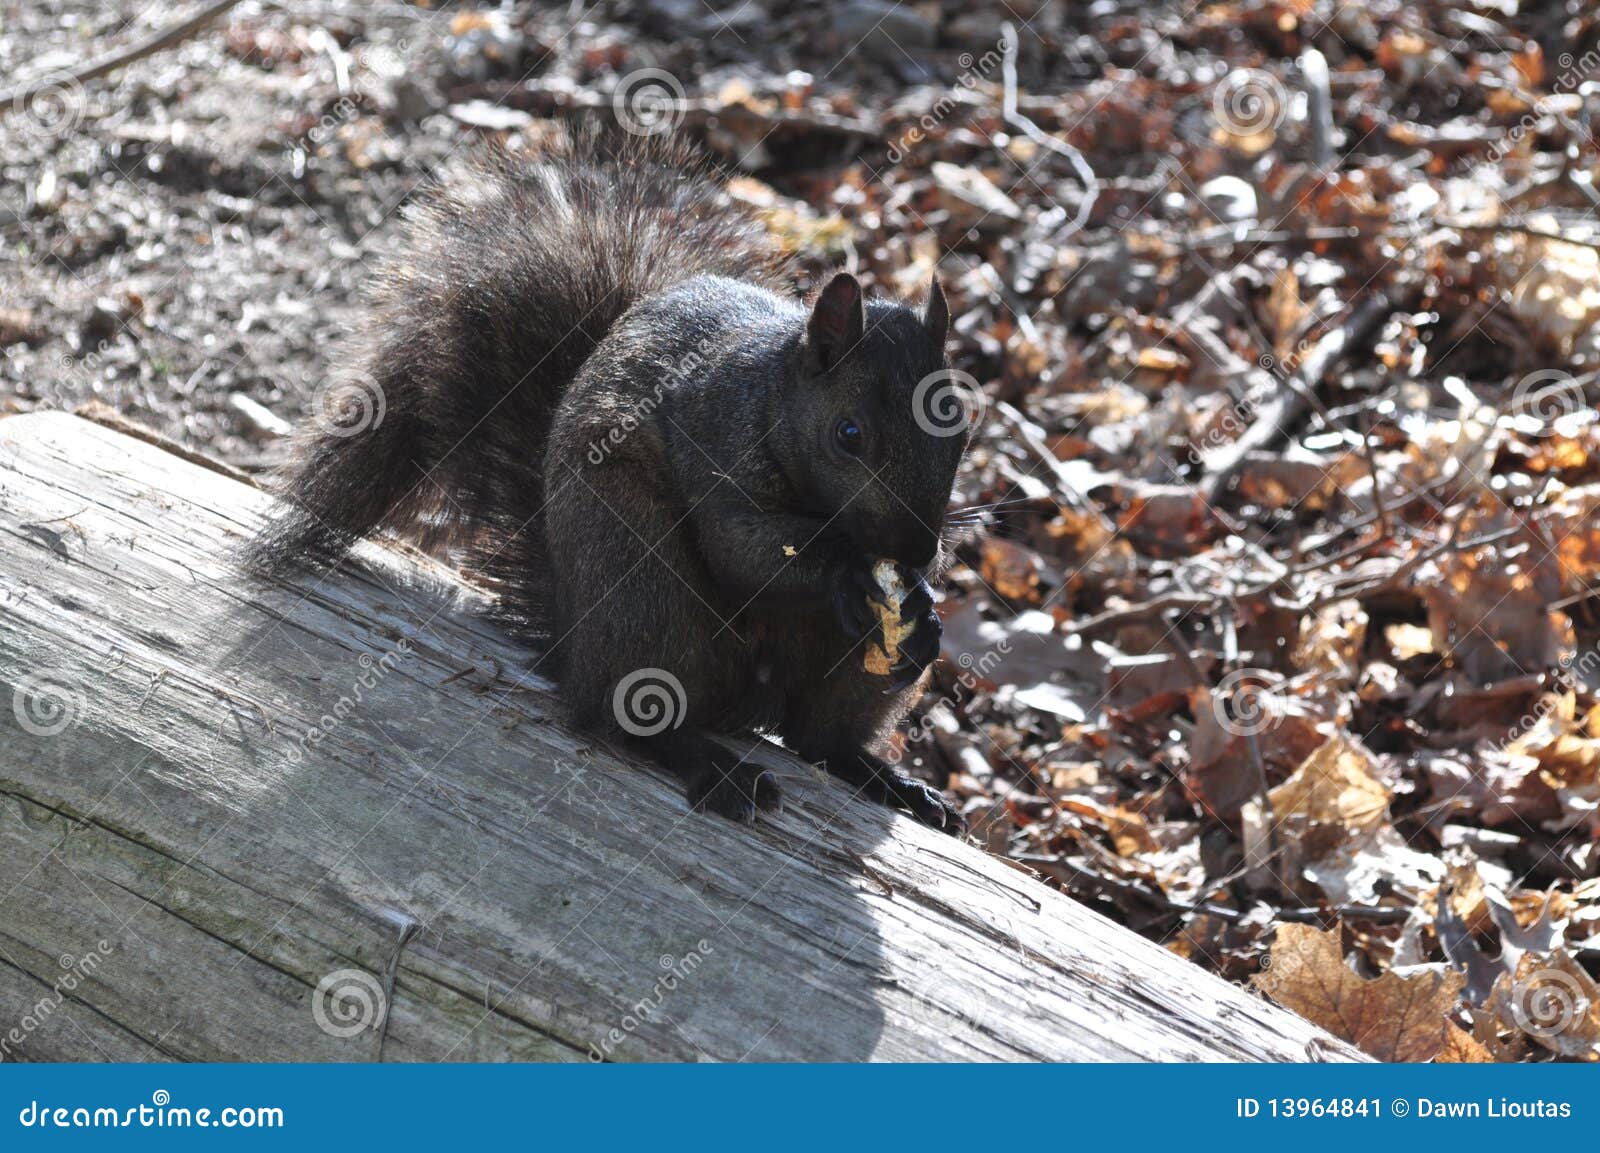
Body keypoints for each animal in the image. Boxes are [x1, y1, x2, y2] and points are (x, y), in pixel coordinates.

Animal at [247, 133, 969, 833]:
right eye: (848, 434)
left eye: (961, 421)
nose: (915, 549)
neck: (773, 402)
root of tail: (575, 648)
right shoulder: (718, 450)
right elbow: (741, 549)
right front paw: (847, 572)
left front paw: (923, 604)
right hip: (644, 596)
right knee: (632, 717)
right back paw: (712, 764)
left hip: (830, 672)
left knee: (820, 739)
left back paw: (889, 776)